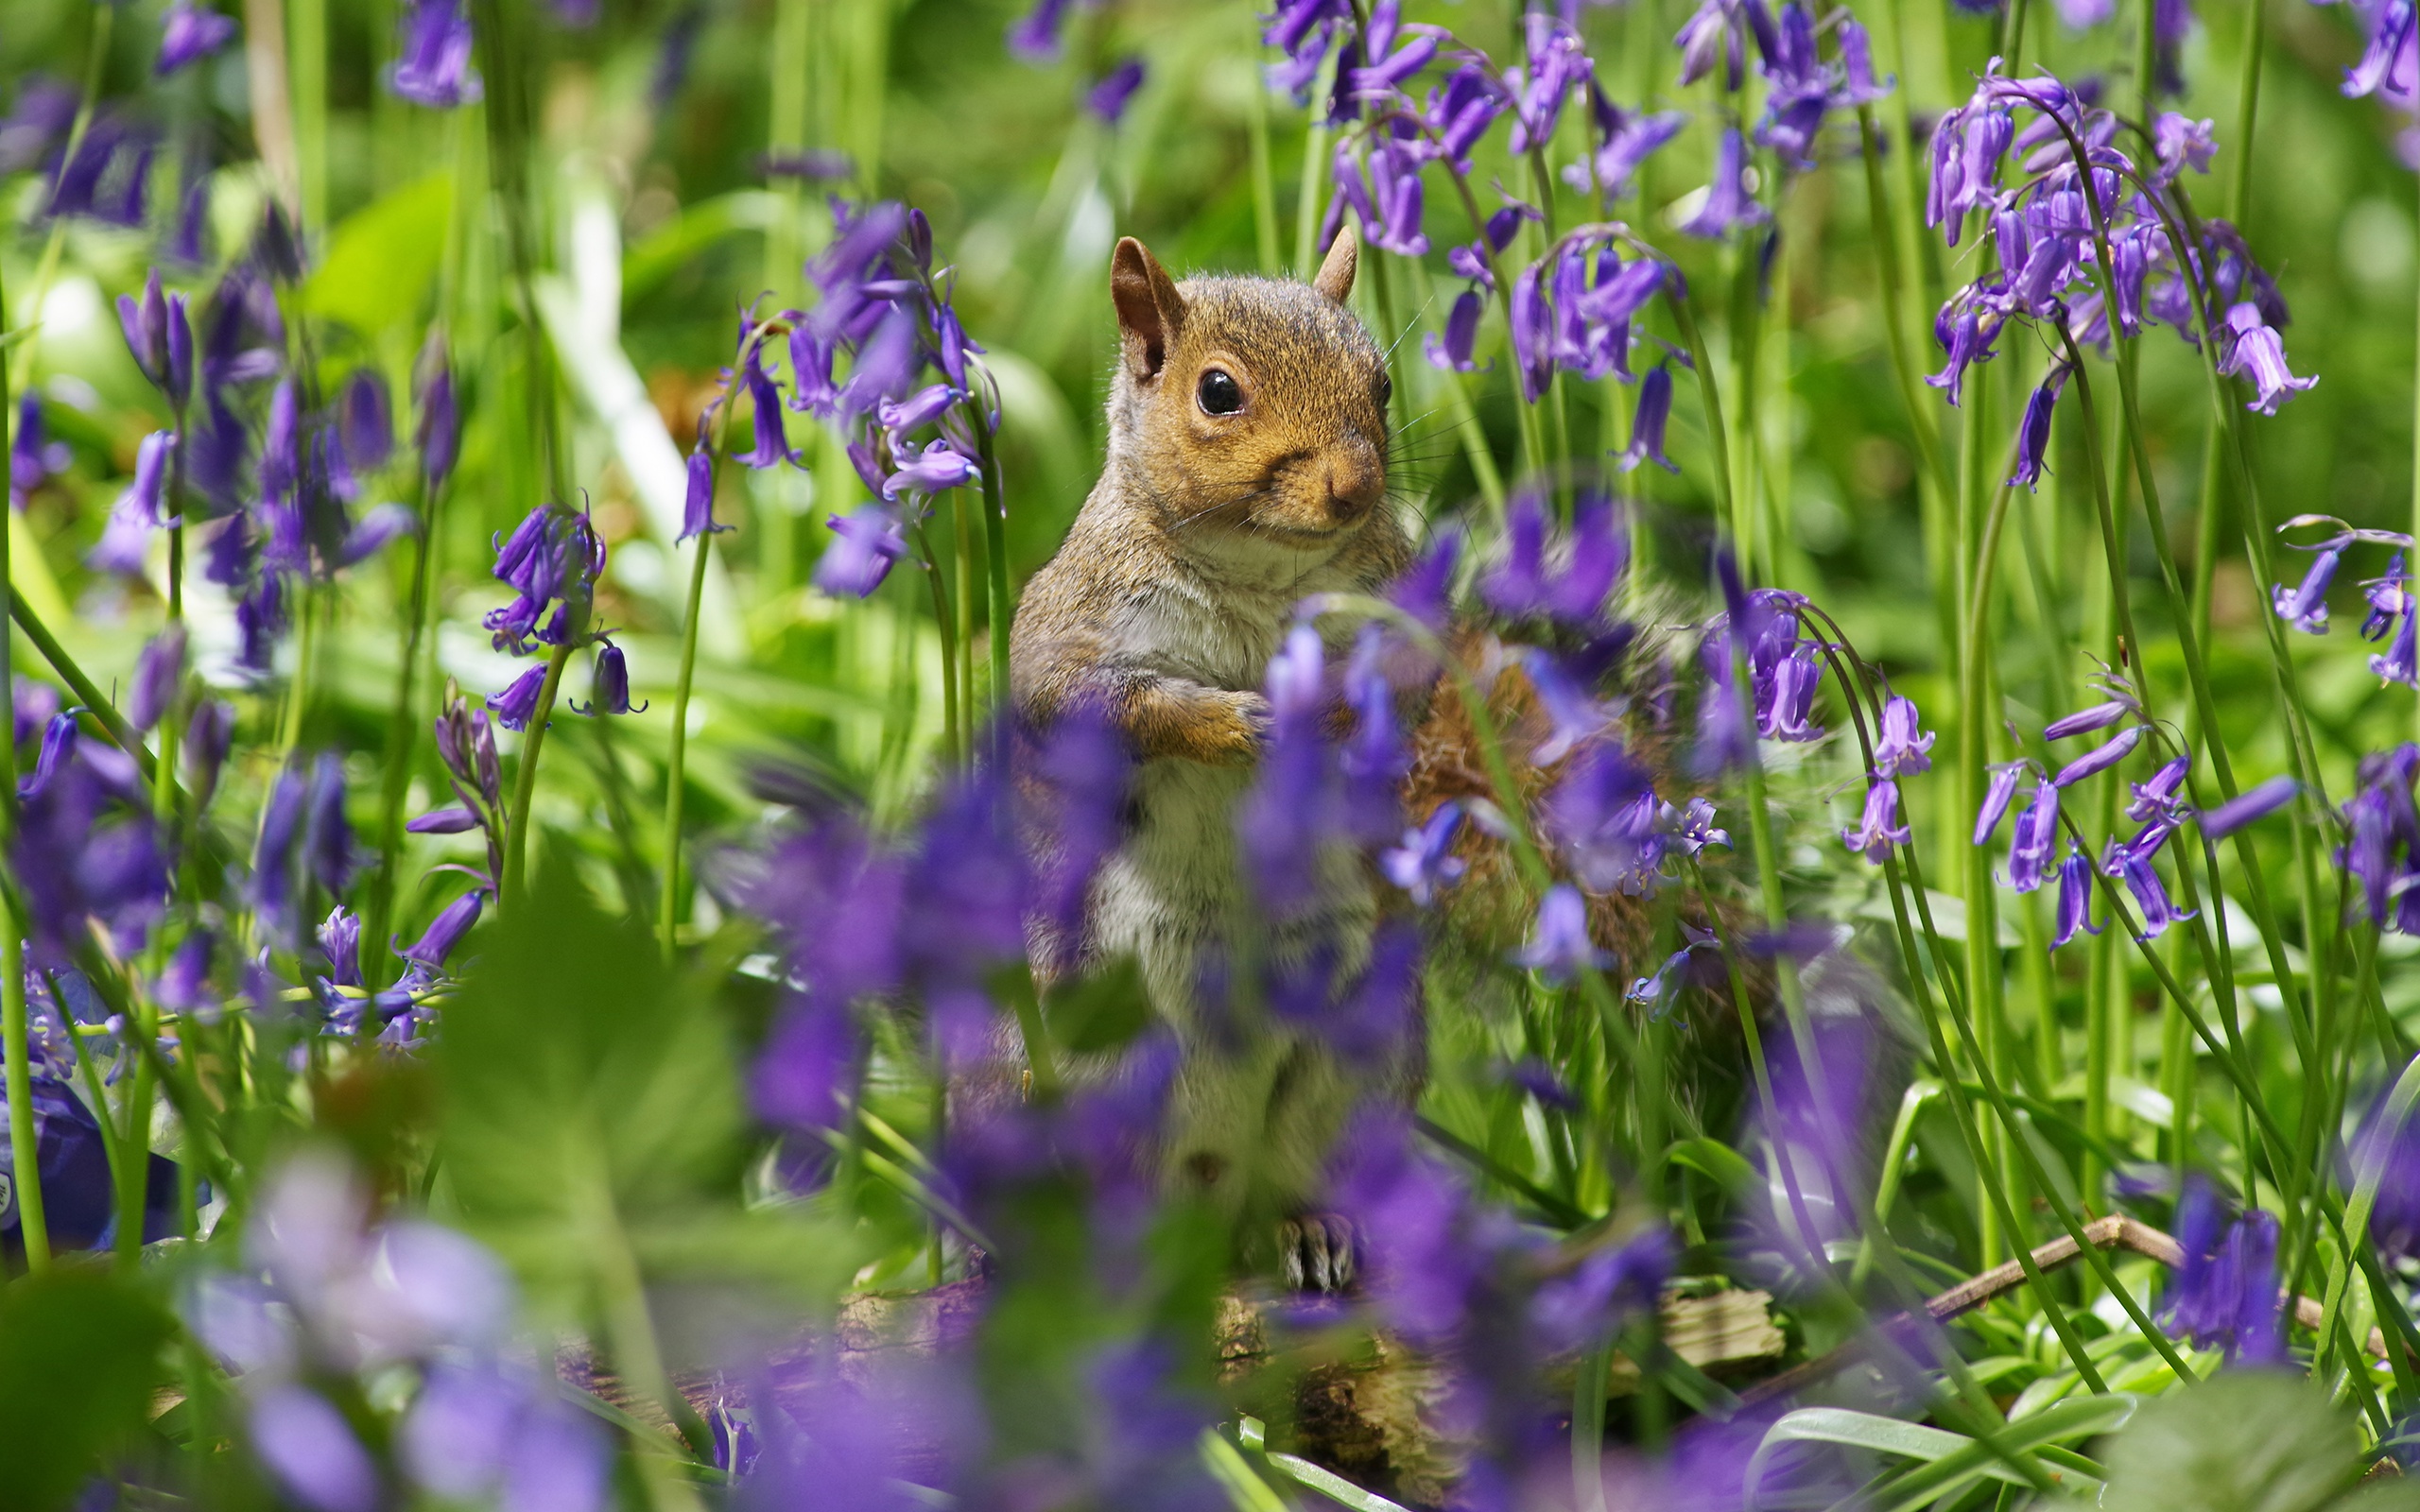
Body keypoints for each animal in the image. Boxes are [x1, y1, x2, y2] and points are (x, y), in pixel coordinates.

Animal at [1009, 229, 1411, 1266]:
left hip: (1348, 1065)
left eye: (1382, 386)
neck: (1256, 576)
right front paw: (1239, 723)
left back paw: (1309, 1229)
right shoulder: (1071, 630)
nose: (1355, 487)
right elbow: (1099, 699)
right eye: (1218, 392)